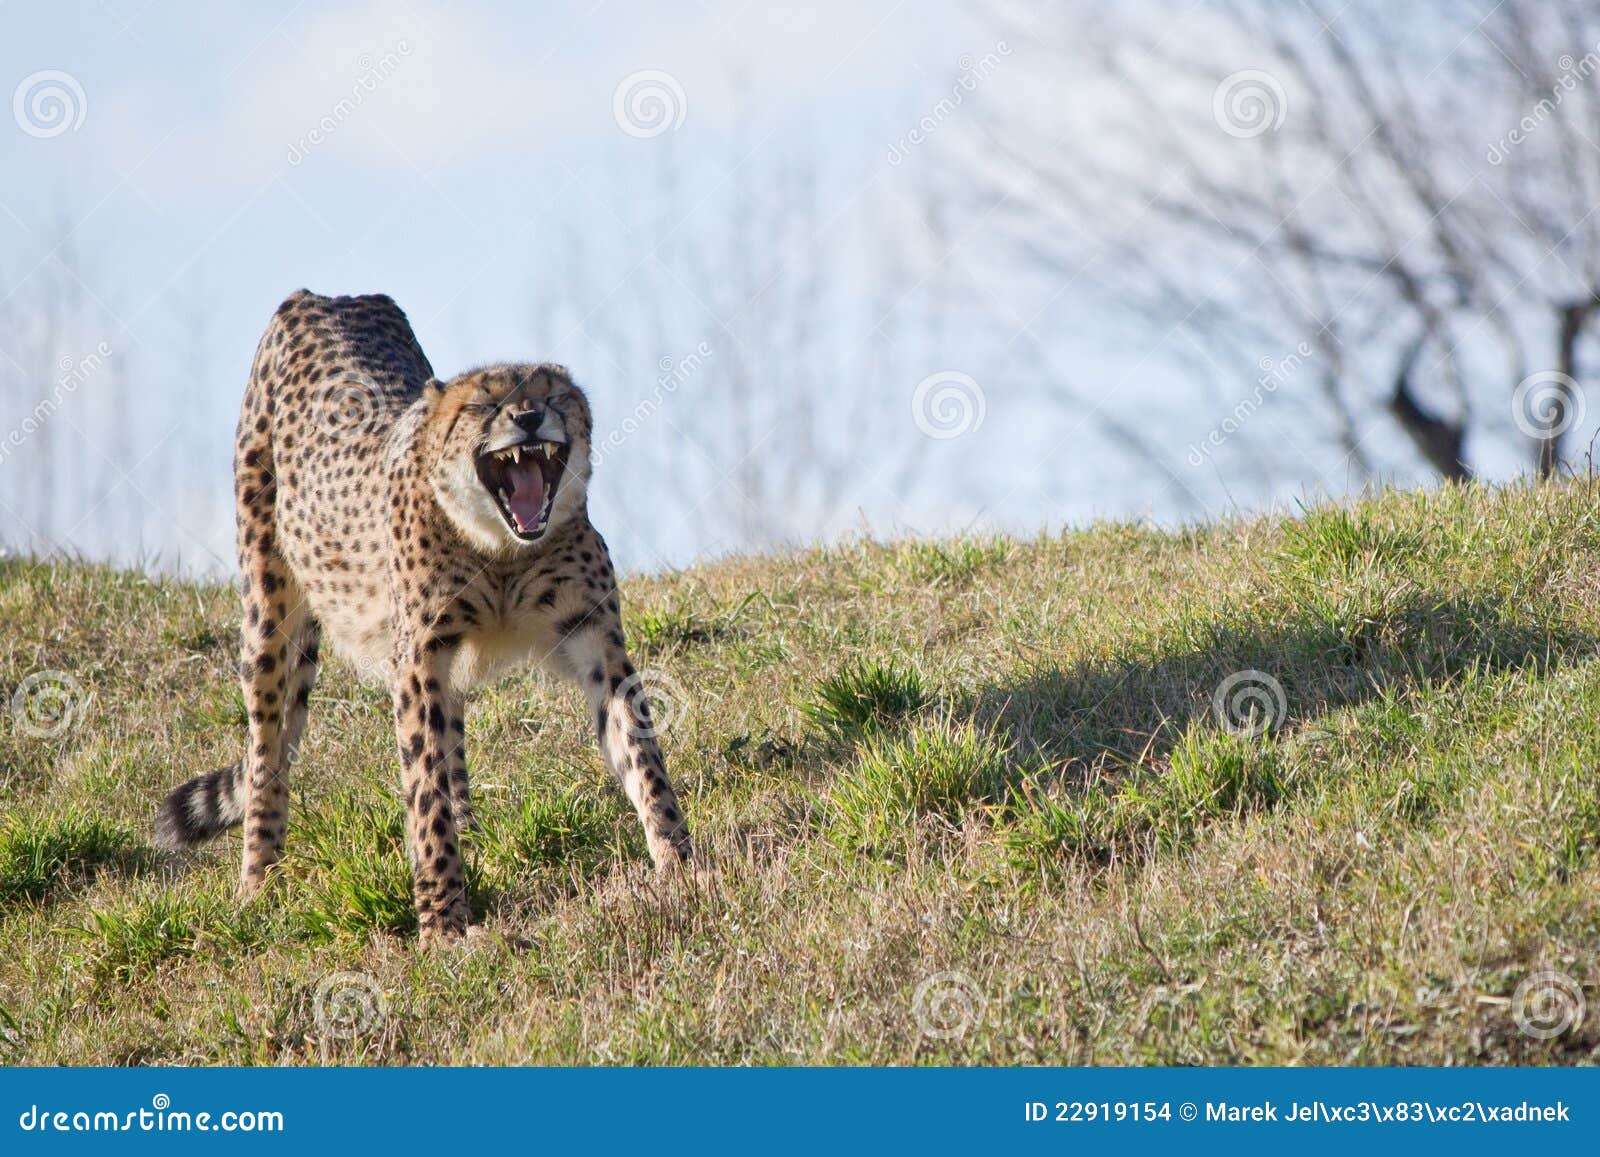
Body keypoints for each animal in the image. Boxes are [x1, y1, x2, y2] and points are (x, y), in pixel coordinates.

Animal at [154, 289, 691, 945]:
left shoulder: (594, 638)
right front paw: (444, 925)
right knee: (267, 755)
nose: (528, 419)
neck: (501, 550)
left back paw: (473, 832)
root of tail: (325, 296)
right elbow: (422, 785)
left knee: (451, 728)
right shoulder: (416, 659)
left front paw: (680, 864)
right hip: (271, 610)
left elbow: (641, 753)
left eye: (552, 394)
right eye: (486, 403)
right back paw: (258, 884)